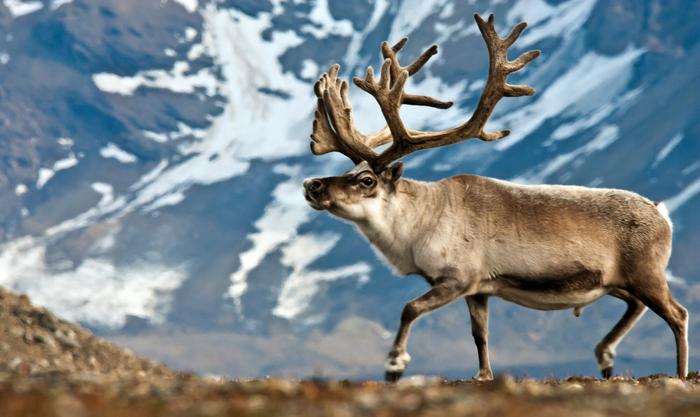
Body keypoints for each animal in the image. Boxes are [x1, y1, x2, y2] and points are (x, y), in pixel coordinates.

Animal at [302, 14, 688, 382]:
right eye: (351, 171)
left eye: (366, 179)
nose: (311, 184)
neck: (419, 224)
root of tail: (663, 214)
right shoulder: (479, 289)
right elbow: (480, 335)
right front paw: (484, 373)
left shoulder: (457, 278)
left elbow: (409, 308)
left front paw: (395, 363)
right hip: (618, 282)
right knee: (639, 307)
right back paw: (605, 353)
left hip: (646, 273)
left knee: (678, 314)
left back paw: (680, 372)